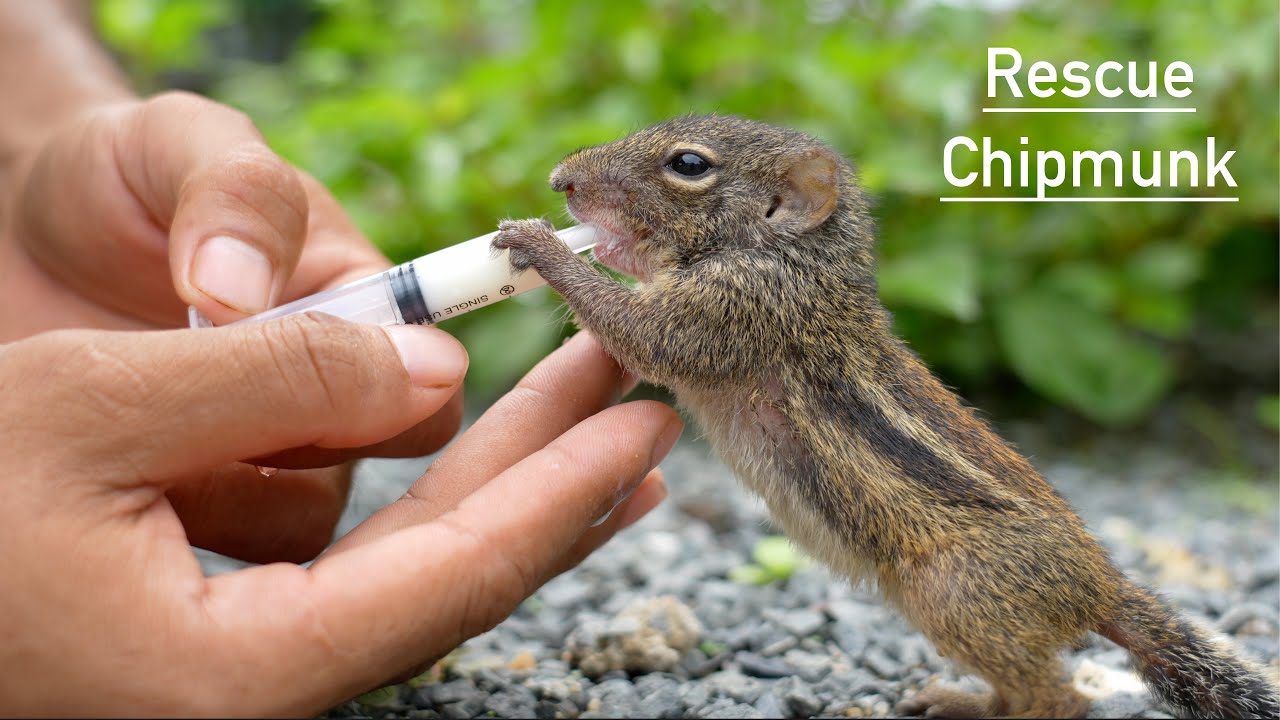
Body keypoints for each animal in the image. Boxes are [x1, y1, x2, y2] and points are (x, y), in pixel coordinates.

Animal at [491, 114, 1279, 718]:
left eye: (688, 164)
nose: (562, 181)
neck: (799, 260)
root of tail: (1102, 589)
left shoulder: (736, 308)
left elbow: (643, 333)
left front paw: (537, 243)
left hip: (957, 598)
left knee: (1056, 700)